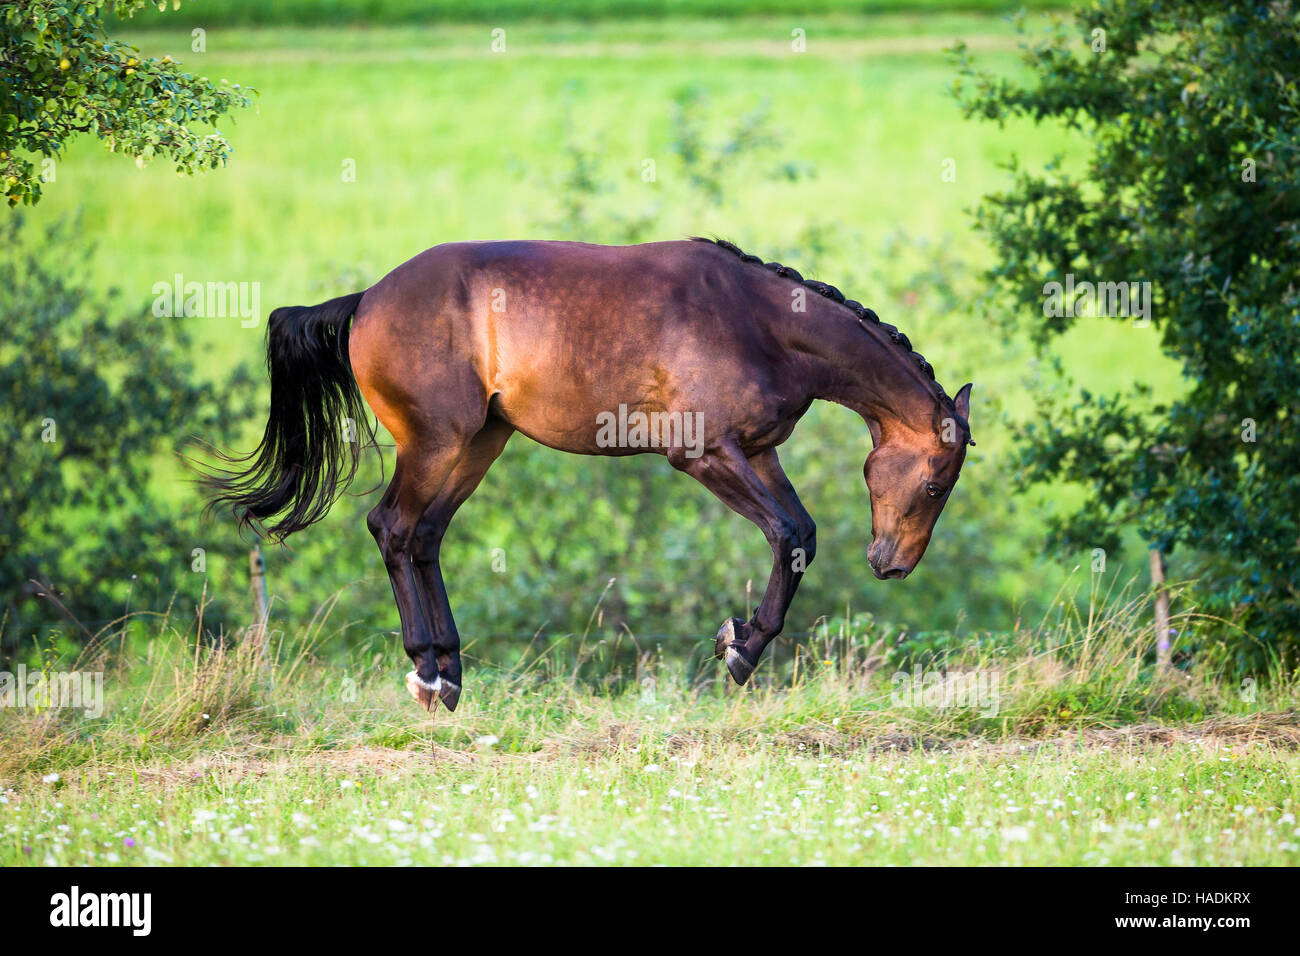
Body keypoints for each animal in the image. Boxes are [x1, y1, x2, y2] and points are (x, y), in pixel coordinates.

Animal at [202, 237, 974, 712]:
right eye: (937, 485)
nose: (893, 564)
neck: (756, 321)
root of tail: (365, 300)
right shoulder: (704, 455)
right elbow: (788, 534)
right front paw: (740, 651)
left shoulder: (757, 453)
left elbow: (800, 535)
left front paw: (740, 639)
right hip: (435, 444)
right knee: (392, 527)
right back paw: (424, 672)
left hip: (478, 444)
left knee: (424, 537)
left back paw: (451, 675)